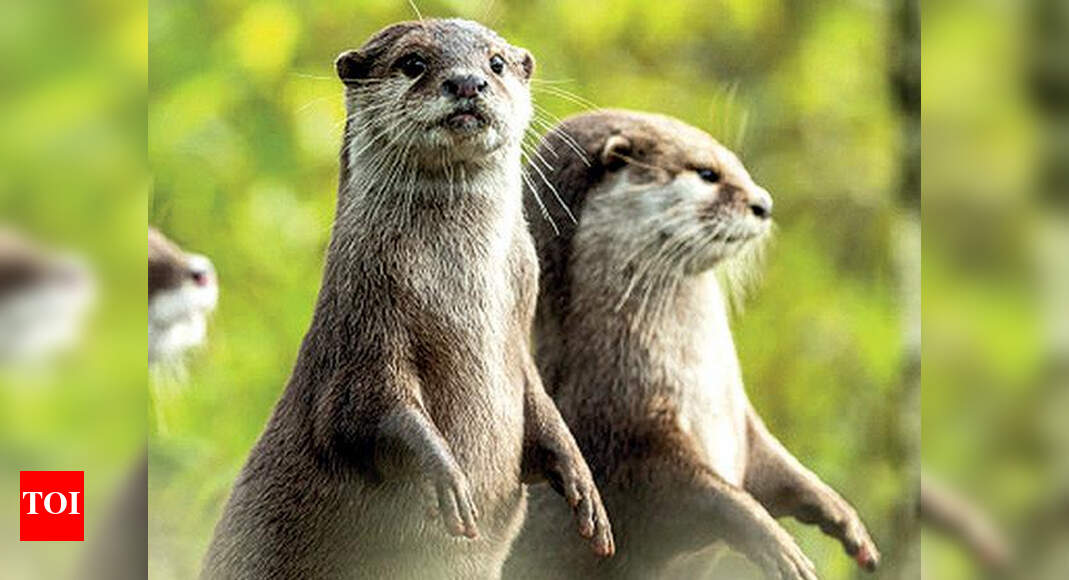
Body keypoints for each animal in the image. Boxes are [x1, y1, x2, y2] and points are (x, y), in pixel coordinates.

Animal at [203, 19, 612, 579]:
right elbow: (362, 413)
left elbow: (542, 406)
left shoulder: (518, 343)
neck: (462, 295)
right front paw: (447, 474)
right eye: (413, 62)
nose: (467, 83)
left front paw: (582, 480)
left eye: (496, 63)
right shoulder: (364, 327)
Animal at [504, 111, 879, 579]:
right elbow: (698, 495)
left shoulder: (742, 429)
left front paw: (841, 515)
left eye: (735, 163)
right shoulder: (623, 437)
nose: (763, 203)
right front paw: (774, 540)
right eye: (707, 173)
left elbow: (776, 468)